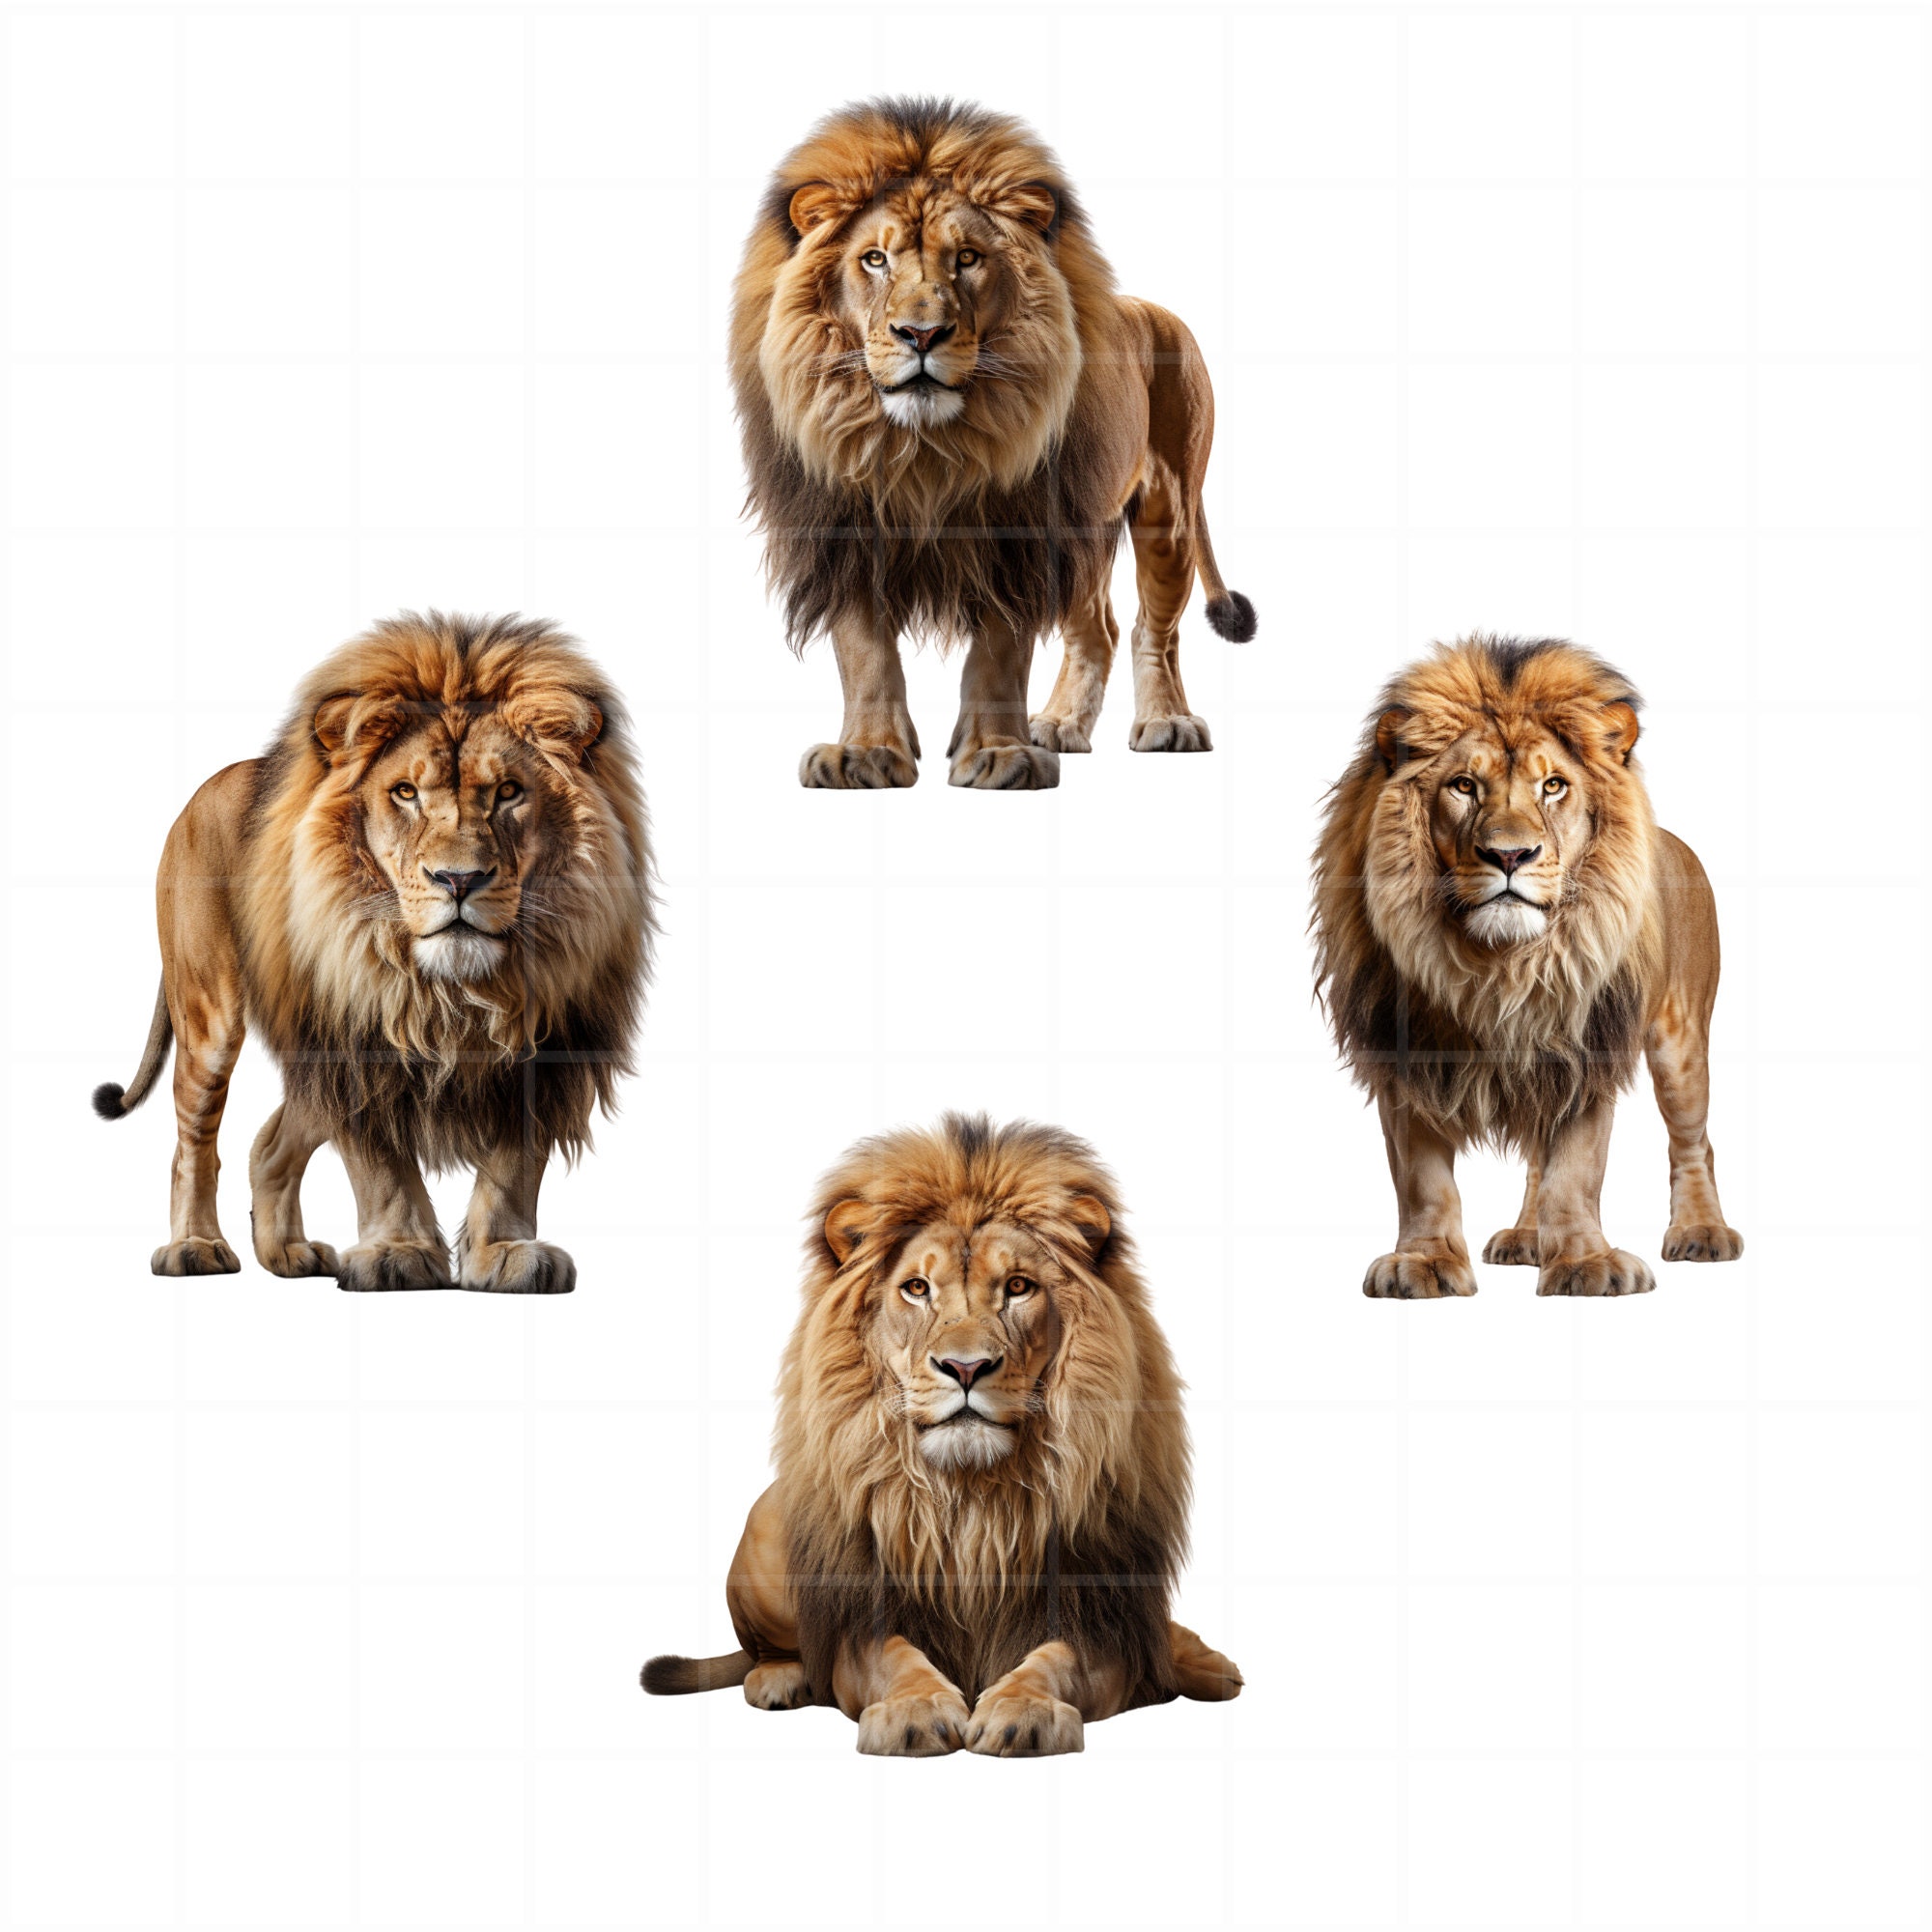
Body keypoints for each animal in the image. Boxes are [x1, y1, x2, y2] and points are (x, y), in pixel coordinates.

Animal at [92, 612, 653, 1293]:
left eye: (509, 792)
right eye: (405, 792)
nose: (458, 880)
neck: (451, 990)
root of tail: (205, 789)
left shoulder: (549, 1047)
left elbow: (513, 1168)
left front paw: (505, 1253)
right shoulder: (354, 1039)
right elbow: (380, 1164)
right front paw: (398, 1252)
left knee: (270, 1143)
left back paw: (289, 1254)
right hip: (211, 1016)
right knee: (194, 1144)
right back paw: (194, 1248)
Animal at [641, 1115, 1241, 1755]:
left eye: (1019, 1287)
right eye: (917, 1288)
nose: (966, 1367)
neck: (973, 1498)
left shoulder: (1097, 1610)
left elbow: (1057, 1659)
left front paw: (1023, 1710)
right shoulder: (866, 1619)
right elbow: (893, 1656)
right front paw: (916, 1711)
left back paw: (1206, 1666)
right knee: (771, 1649)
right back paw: (781, 1679)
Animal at [732, 96, 1256, 792]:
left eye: (967, 258)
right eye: (874, 260)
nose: (921, 334)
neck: (923, 449)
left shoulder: (1021, 528)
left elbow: (1000, 653)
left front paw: (998, 755)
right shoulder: (847, 526)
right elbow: (865, 652)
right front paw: (866, 755)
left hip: (1167, 510)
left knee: (1156, 628)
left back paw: (1167, 723)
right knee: (1099, 630)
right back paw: (1058, 726)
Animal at [1312, 636, 1743, 1299]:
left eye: (1554, 786)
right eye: (1464, 785)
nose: (1510, 854)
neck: (1503, 966)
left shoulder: (1589, 1047)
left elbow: (1577, 1169)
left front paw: (1587, 1264)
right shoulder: (1405, 1054)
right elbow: (1423, 1180)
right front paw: (1425, 1262)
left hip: (1682, 1046)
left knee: (1694, 1143)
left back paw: (1701, 1233)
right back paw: (1527, 1237)